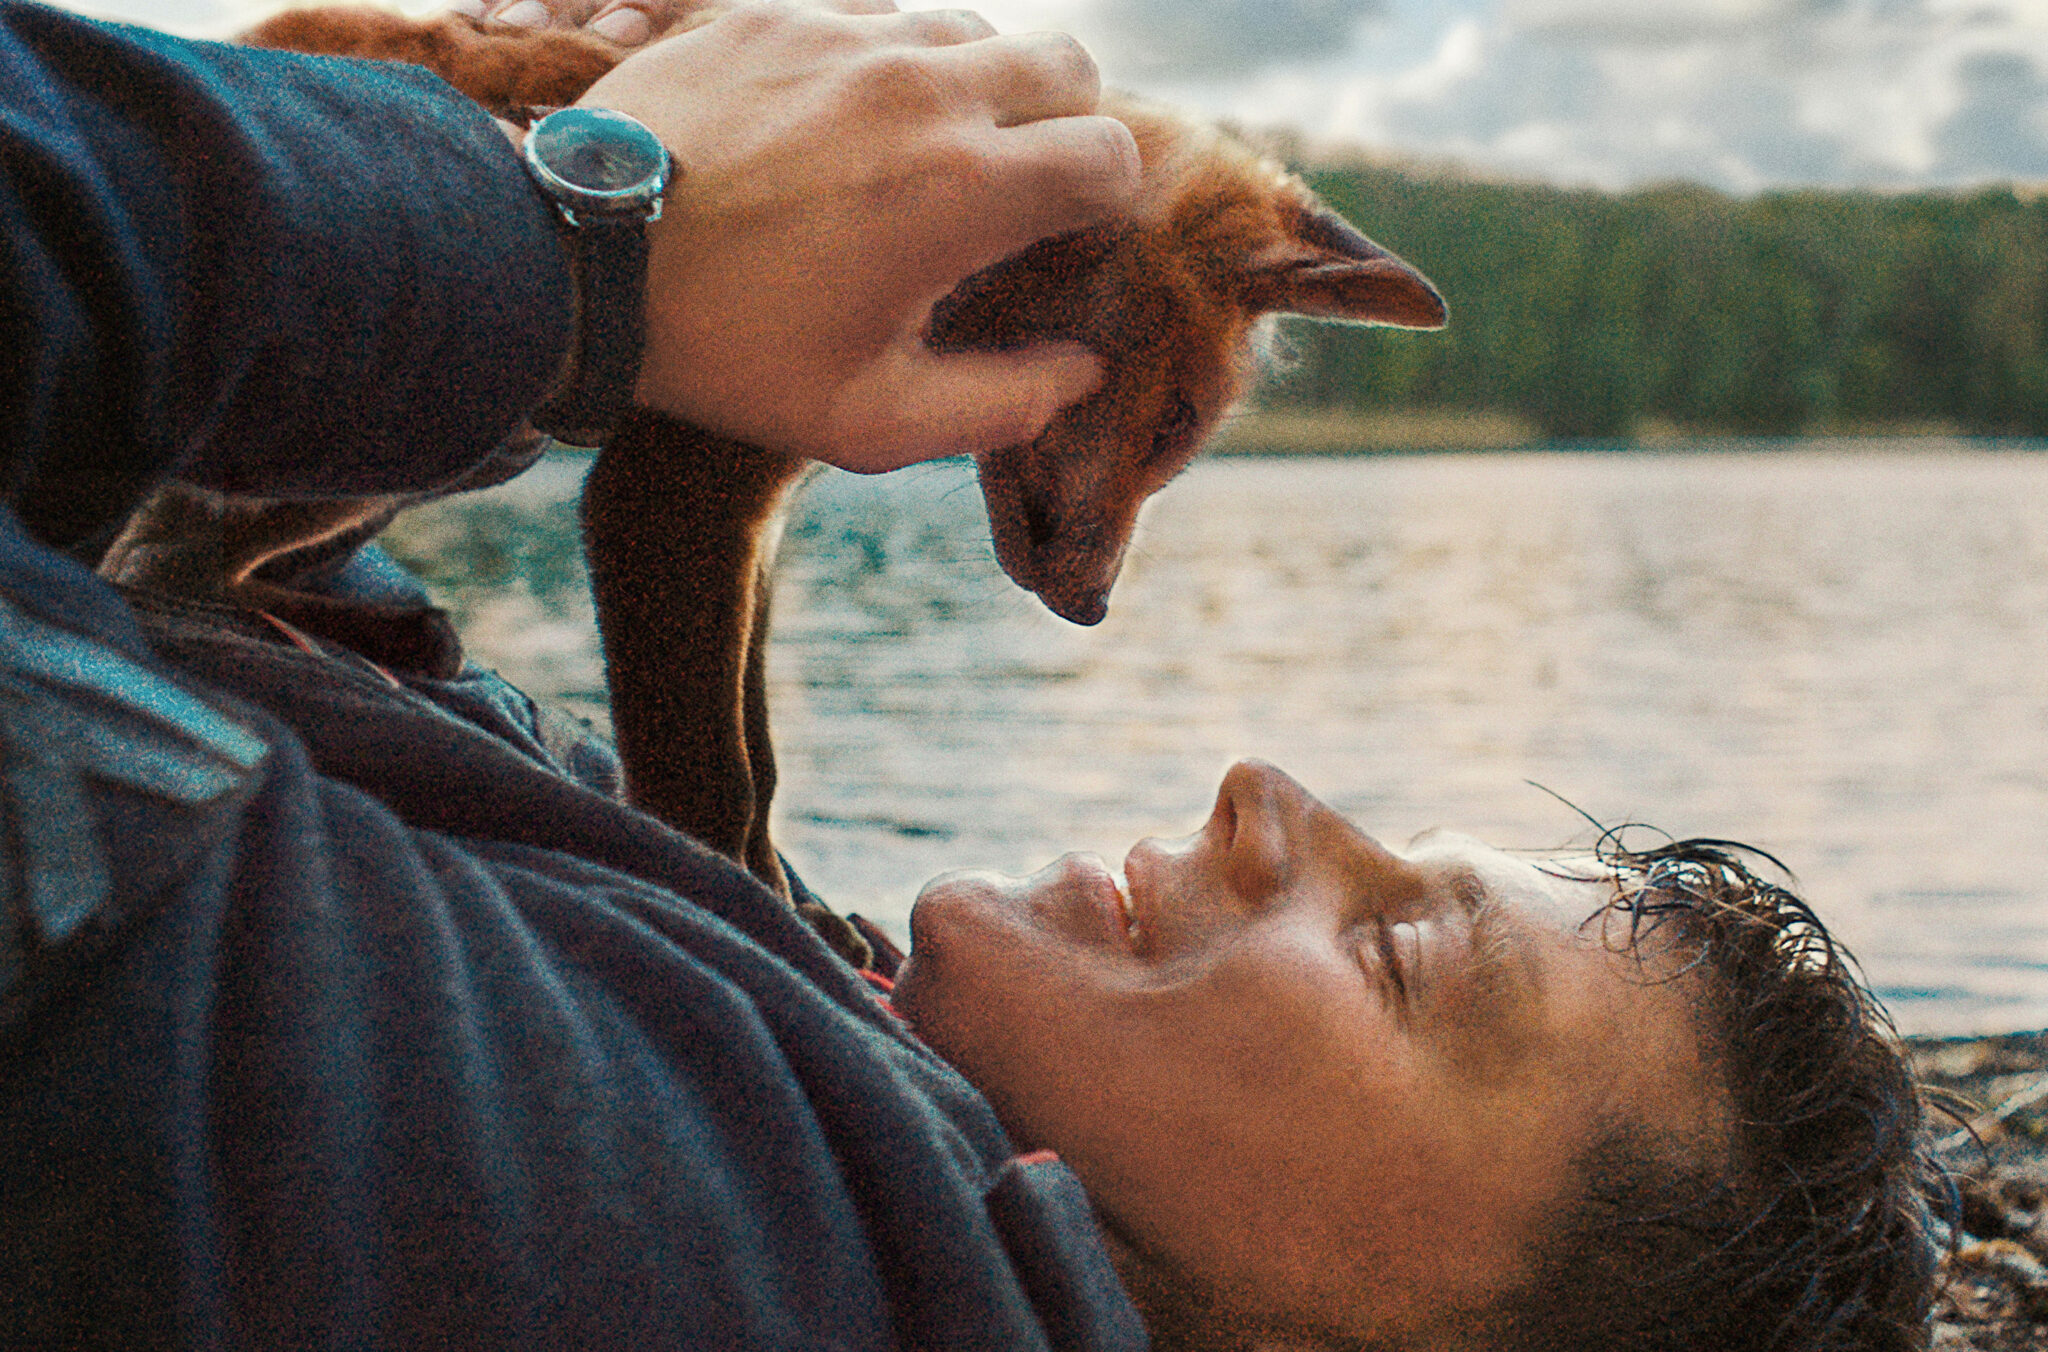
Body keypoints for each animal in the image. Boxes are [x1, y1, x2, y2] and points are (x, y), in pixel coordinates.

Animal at [103, 5, 1446, 963]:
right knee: (148, 564)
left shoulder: (761, 503)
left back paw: (372, 629)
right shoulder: (668, 490)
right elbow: (710, 775)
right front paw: (754, 916)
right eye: (1169, 419)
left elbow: (760, 755)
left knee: (181, 561)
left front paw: (800, 907)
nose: (1091, 609)